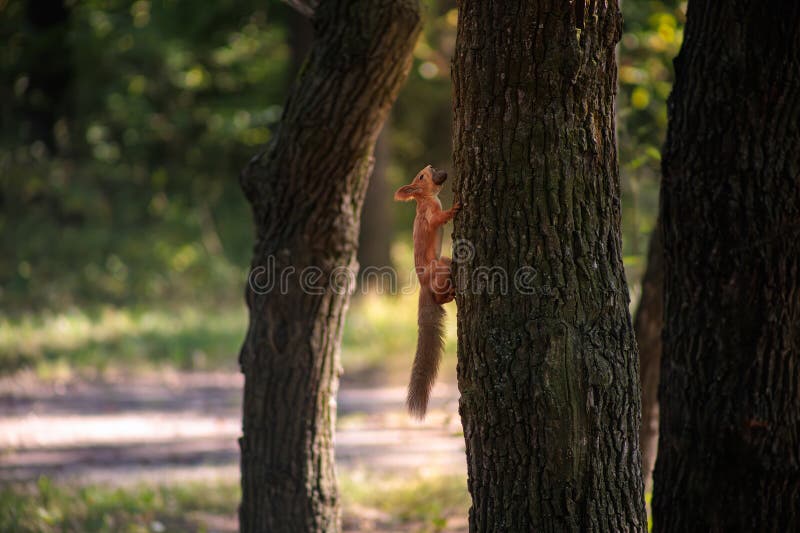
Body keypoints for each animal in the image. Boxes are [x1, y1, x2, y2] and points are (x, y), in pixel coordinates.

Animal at [394, 165, 460, 419]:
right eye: (422, 176)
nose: (433, 167)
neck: (427, 199)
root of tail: (424, 286)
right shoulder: (430, 217)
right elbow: (439, 218)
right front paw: (455, 208)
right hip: (439, 269)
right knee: (439, 296)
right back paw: (449, 294)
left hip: (444, 261)